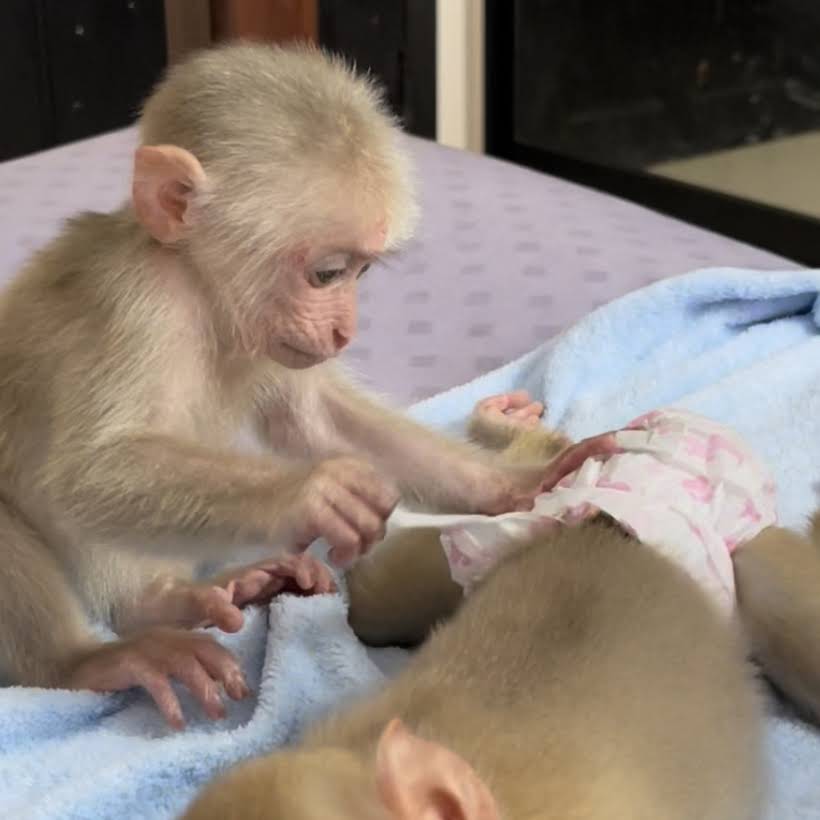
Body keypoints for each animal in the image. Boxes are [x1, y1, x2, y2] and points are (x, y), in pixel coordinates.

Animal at [0, 44, 556, 728]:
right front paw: (314, 493)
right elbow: (84, 473)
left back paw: (171, 599)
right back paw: (85, 662)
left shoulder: (272, 339)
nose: (345, 330)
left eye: (360, 273)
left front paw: (515, 483)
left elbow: (315, 420)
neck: (201, 292)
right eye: (326, 274)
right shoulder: (135, 302)